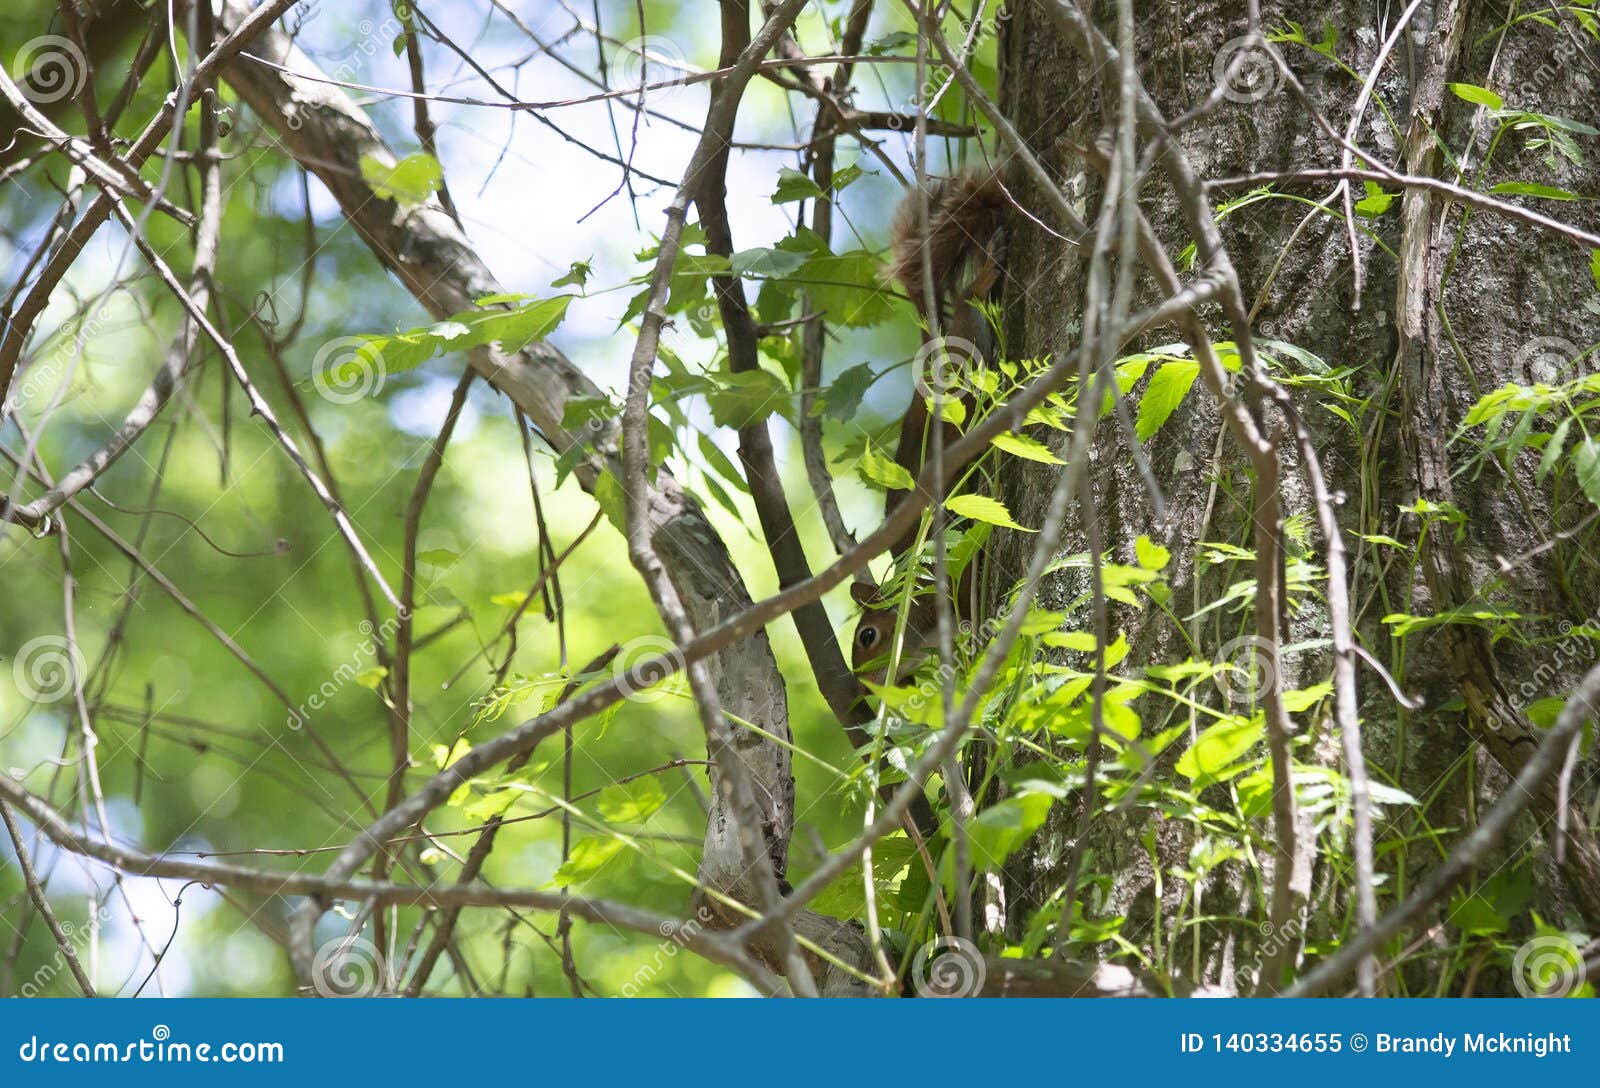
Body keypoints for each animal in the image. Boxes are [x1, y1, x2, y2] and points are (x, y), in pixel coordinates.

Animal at [852, 169, 1008, 681]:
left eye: (867, 636)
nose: (866, 689)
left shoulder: (947, 577)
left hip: (965, 360)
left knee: (966, 301)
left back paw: (985, 274)